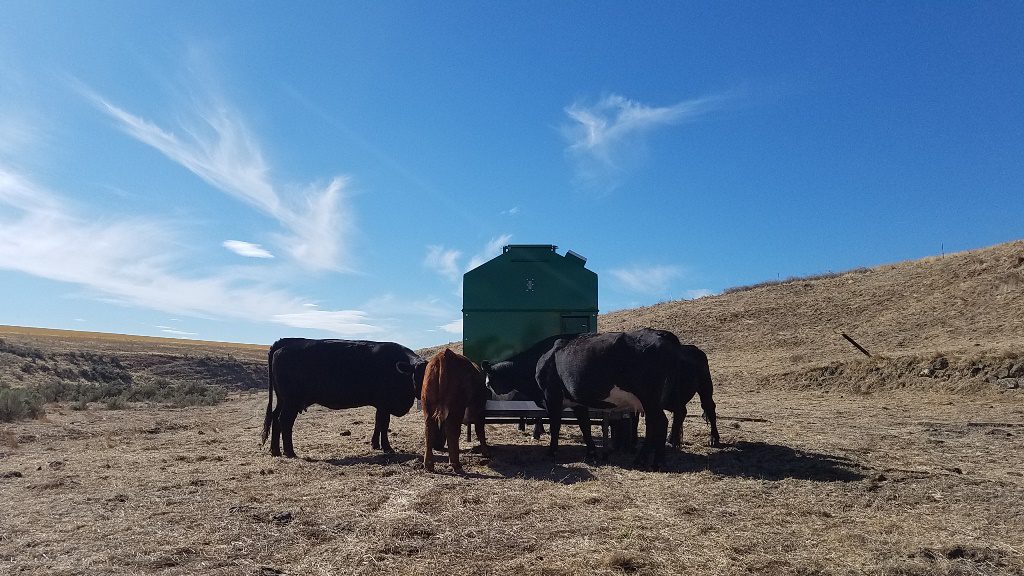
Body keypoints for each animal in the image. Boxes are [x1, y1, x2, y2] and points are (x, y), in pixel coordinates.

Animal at [261, 338, 426, 458]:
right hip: (291, 401)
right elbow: (384, 425)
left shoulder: (380, 405)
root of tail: (287, 342)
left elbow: (378, 423)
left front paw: (375, 445)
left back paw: (275, 451)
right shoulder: (385, 403)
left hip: (282, 399)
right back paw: (290, 452)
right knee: (284, 421)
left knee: (275, 418)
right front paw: (387, 448)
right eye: (418, 377)